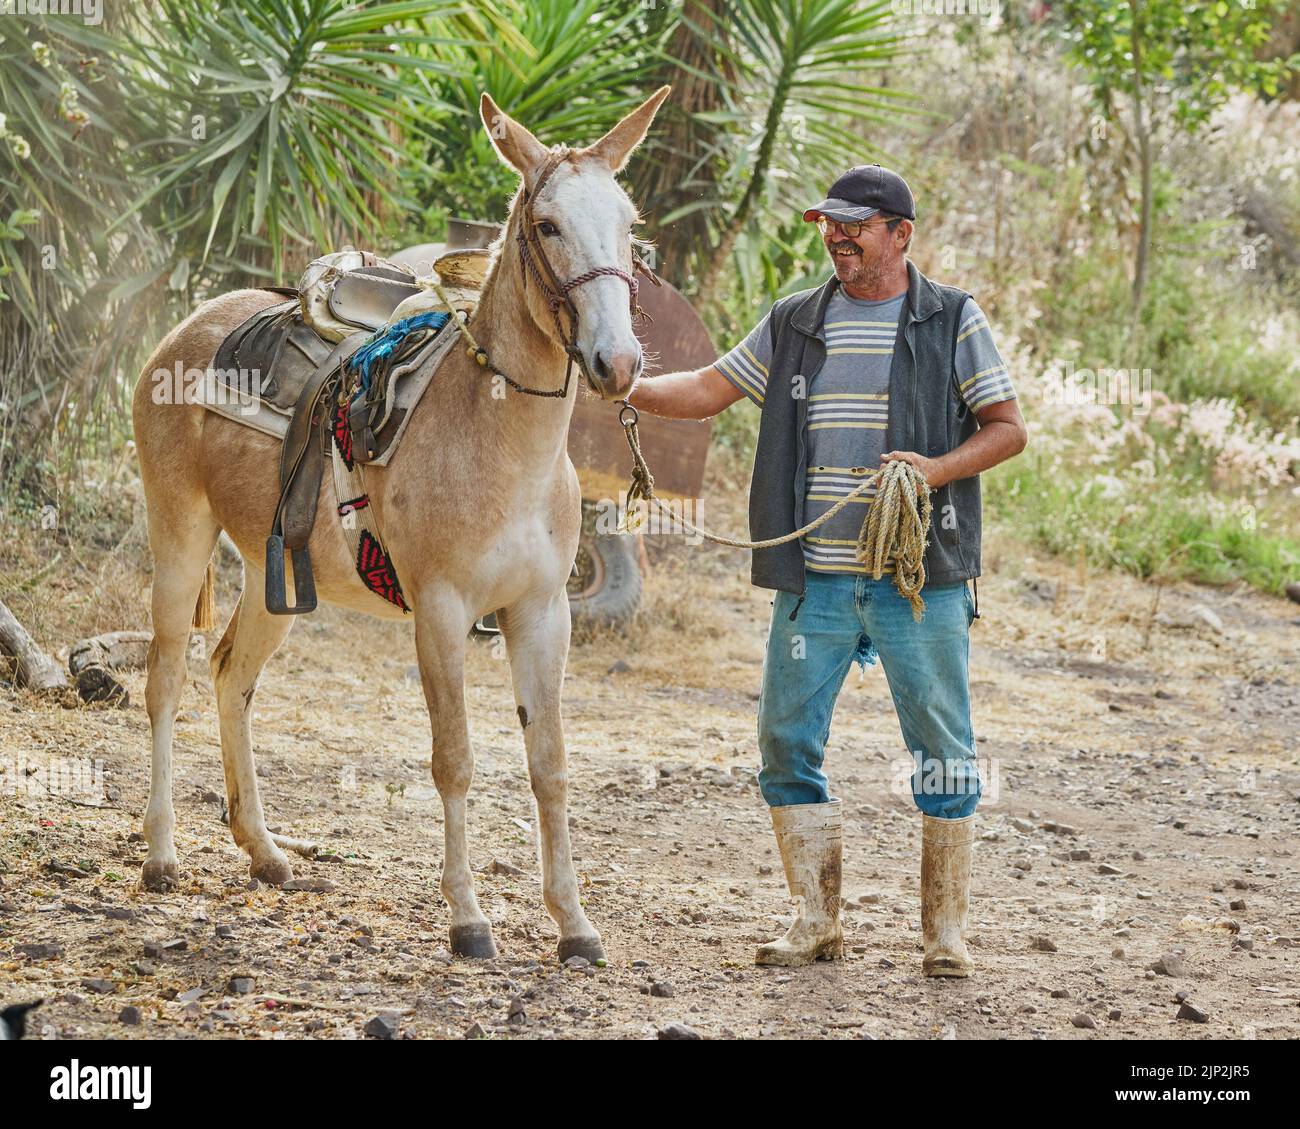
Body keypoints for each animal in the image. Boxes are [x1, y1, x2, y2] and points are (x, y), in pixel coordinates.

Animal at [131, 87, 671, 962]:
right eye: (548, 224)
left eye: (628, 224)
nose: (617, 363)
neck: (499, 440)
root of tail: (192, 324)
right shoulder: (443, 611)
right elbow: (455, 759)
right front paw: (469, 918)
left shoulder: (543, 612)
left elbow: (550, 762)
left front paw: (574, 924)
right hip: (178, 539)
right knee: (165, 679)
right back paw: (161, 853)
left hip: (276, 574)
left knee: (230, 674)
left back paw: (264, 849)